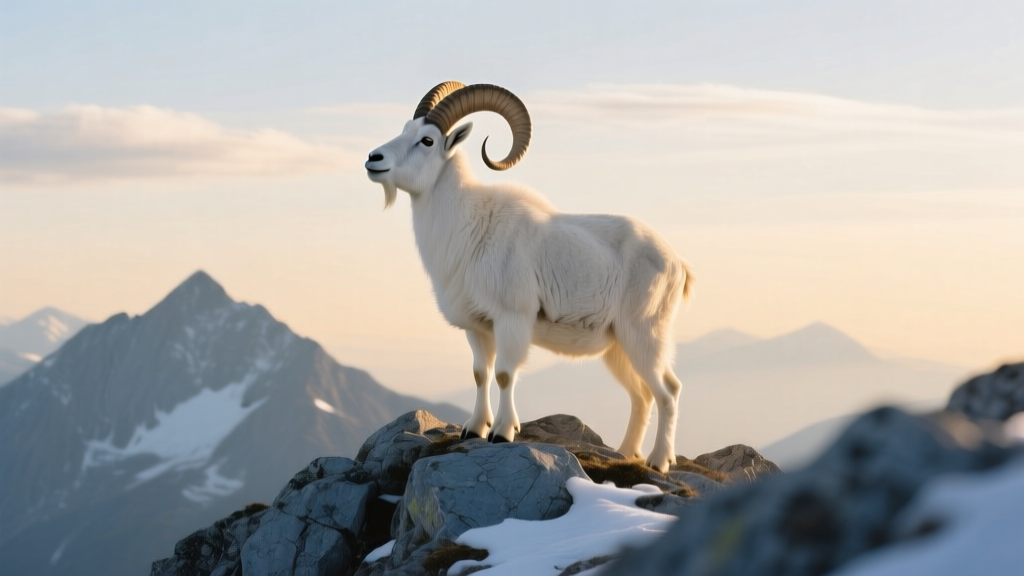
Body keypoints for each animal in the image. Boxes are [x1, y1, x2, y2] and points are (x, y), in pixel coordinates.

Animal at [365, 82, 692, 472]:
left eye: (427, 140)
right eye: (405, 129)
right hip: (619, 348)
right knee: (642, 395)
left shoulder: (512, 321)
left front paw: (503, 433)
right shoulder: (478, 329)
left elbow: (505, 374)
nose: (373, 159)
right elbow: (481, 373)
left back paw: (658, 462)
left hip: (644, 337)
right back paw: (627, 454)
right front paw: (475, 429)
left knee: (668, 391)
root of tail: (678, 264)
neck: (469, 229)